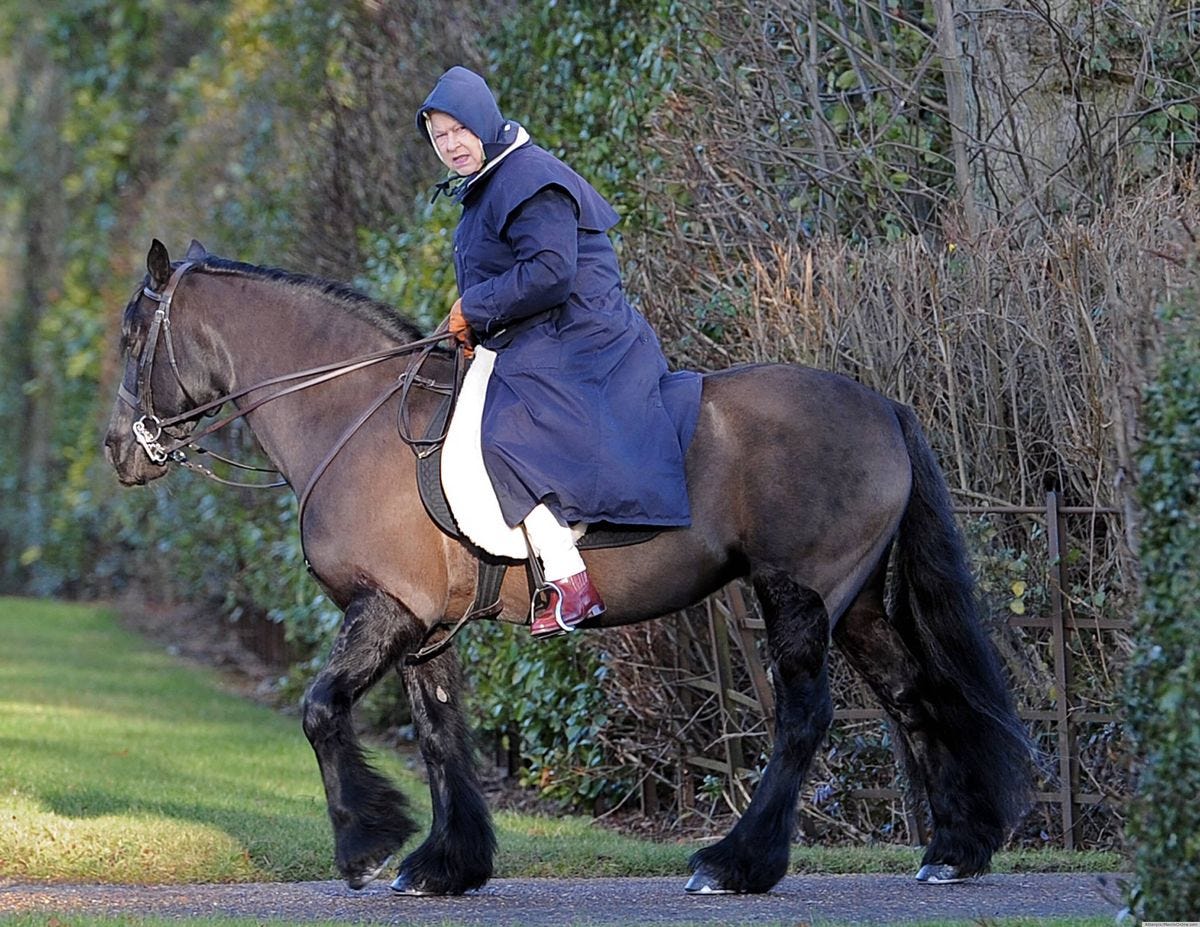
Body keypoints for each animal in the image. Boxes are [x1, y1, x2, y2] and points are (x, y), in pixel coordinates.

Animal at [103, 239, 1031, 896]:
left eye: (131, 335)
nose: (118, 450)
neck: (350, 412)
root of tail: (882, 404)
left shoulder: (384, 610)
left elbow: (321, 710)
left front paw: (365, 844)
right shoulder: (425, 629)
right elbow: (440, 735)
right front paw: (446, 864)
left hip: (797, 594)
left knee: (804, 719)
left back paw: (735, 862)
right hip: (857, 600)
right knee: (915, 695)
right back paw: (954, 848)